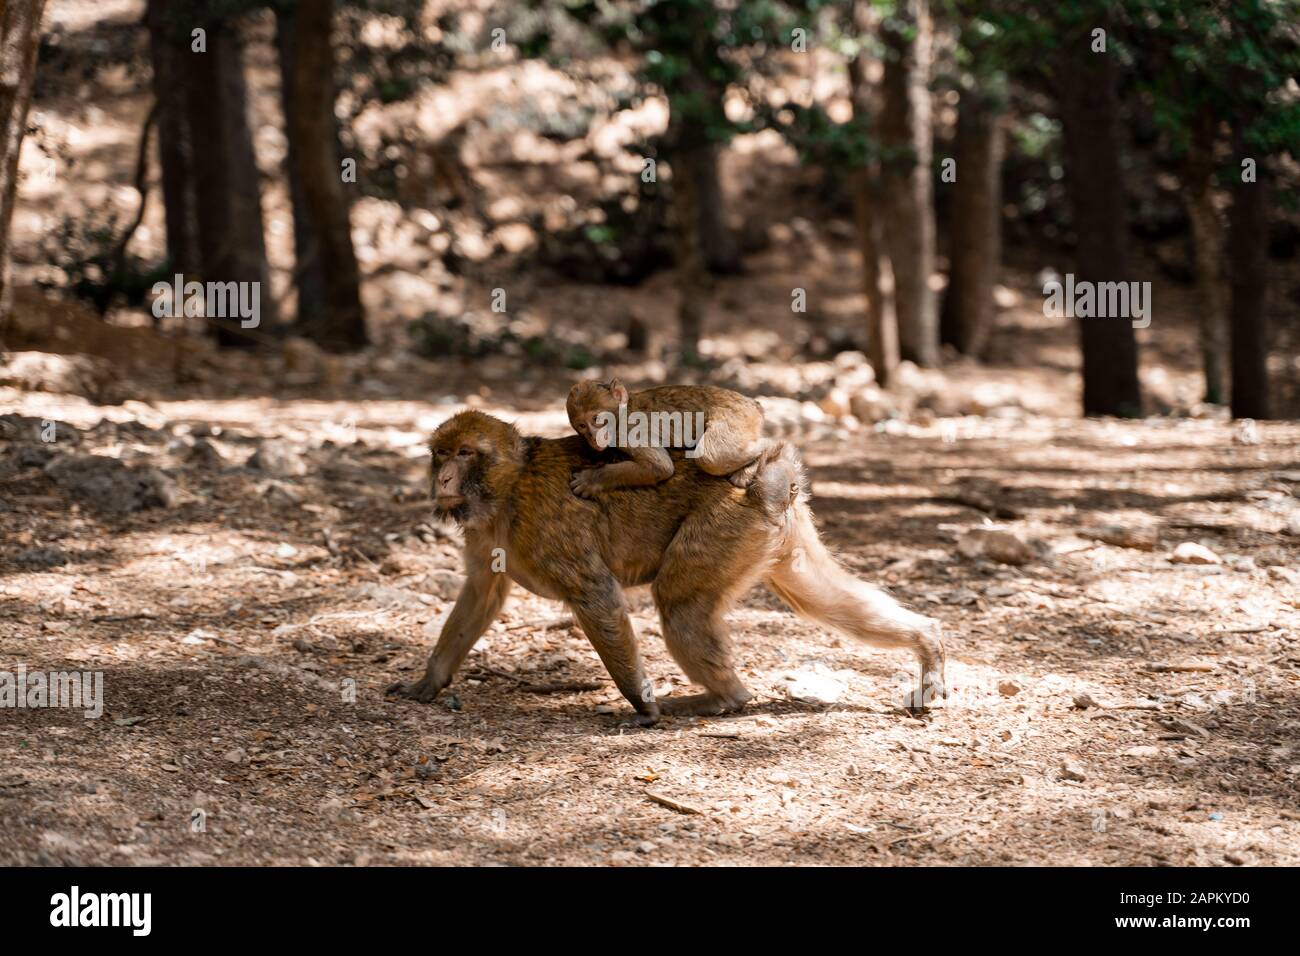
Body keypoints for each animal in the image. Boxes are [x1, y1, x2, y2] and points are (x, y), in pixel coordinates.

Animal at [386, 409, 946, 724]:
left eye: (465, 453)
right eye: (440, 454)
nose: (444, 478)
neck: (508, 490)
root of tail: (762, 477)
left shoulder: (547, 530)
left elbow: (597, 597)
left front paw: (644, 704)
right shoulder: (484, 534)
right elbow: (482, 592)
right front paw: (429, 682)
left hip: (724, 528)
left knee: (678, 605)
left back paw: (722, 698)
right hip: (771, 534)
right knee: (813, 594)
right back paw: (927, 643)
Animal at [565, 379, 769, 498]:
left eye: (596, 419)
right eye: (582, 426)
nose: (593, 437)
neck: (622, 413)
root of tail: (753, 404)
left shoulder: (629, 432)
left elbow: (660, 467)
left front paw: (592, 479)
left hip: (736, 418)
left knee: (710, 458)